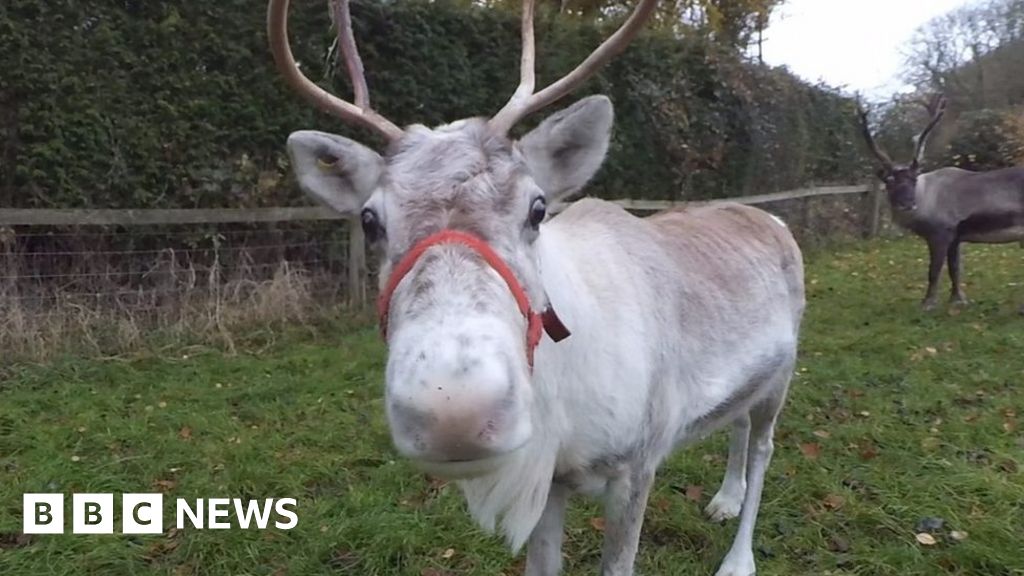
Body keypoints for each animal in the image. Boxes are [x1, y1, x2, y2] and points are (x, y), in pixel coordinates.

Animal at [268, 0, 805, 574]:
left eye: (538, 208)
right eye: (369, 220)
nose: (453, 414)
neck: (561, 411)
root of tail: (771, 219)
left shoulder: (638, 461)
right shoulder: (553, 484)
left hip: (784, 372)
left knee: (765, 446)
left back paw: (738, 557)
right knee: (739, 421)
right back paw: (725, 497)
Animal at [858, 95, 1024, 312]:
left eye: (914, 179)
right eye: (889, 181)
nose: (907, 205)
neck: (925, 197)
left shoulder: (940, 233)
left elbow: (934, 270)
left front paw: (928, 303)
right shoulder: (956, 237)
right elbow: (955, 269)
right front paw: (958, 299)